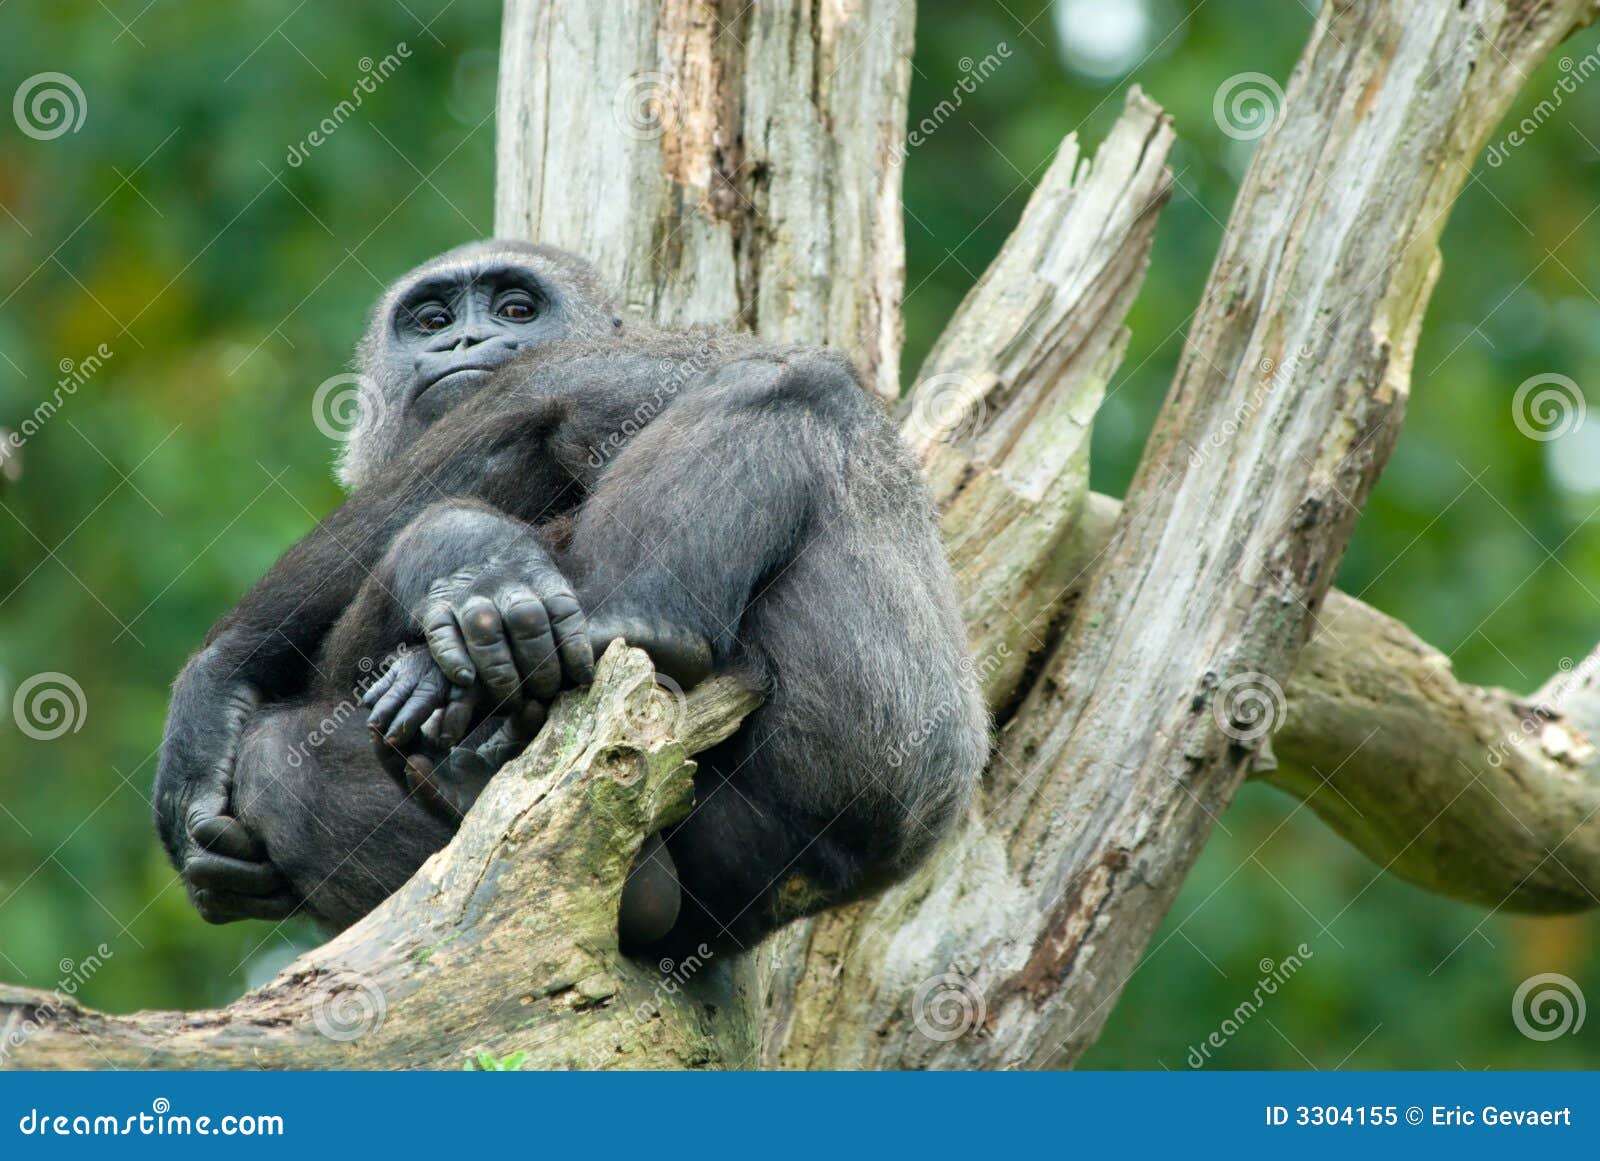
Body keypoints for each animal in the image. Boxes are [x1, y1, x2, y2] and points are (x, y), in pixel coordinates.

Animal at [153, 239, 988, 955]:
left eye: (517, 308)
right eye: (432, 321)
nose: (465, 343)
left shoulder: (603, 359)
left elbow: (528, 412)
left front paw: (213, 684)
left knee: (785, 386)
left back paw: (629, 627)